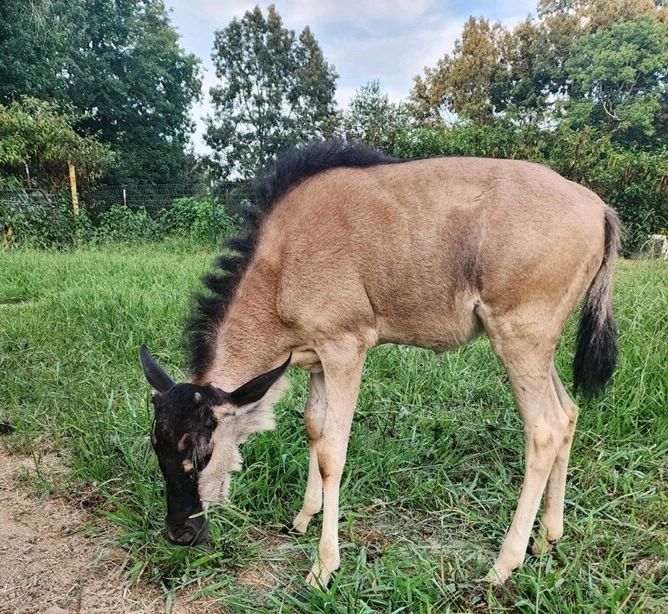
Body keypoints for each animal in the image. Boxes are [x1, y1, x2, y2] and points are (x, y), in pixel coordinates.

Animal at [140, 140, 620, 588]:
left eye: (201, 451)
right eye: (156, 446)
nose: (180, 535)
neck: (282, 260)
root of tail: (597, 207)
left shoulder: (346, 348)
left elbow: (332, 451)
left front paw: (323, 566)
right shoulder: (317, 360)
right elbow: (313, 427)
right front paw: (305, 516)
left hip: (518, 337)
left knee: (545, 429)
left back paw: (505, 563)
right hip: (536, 346)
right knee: (569, 412)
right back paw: (547, 537)